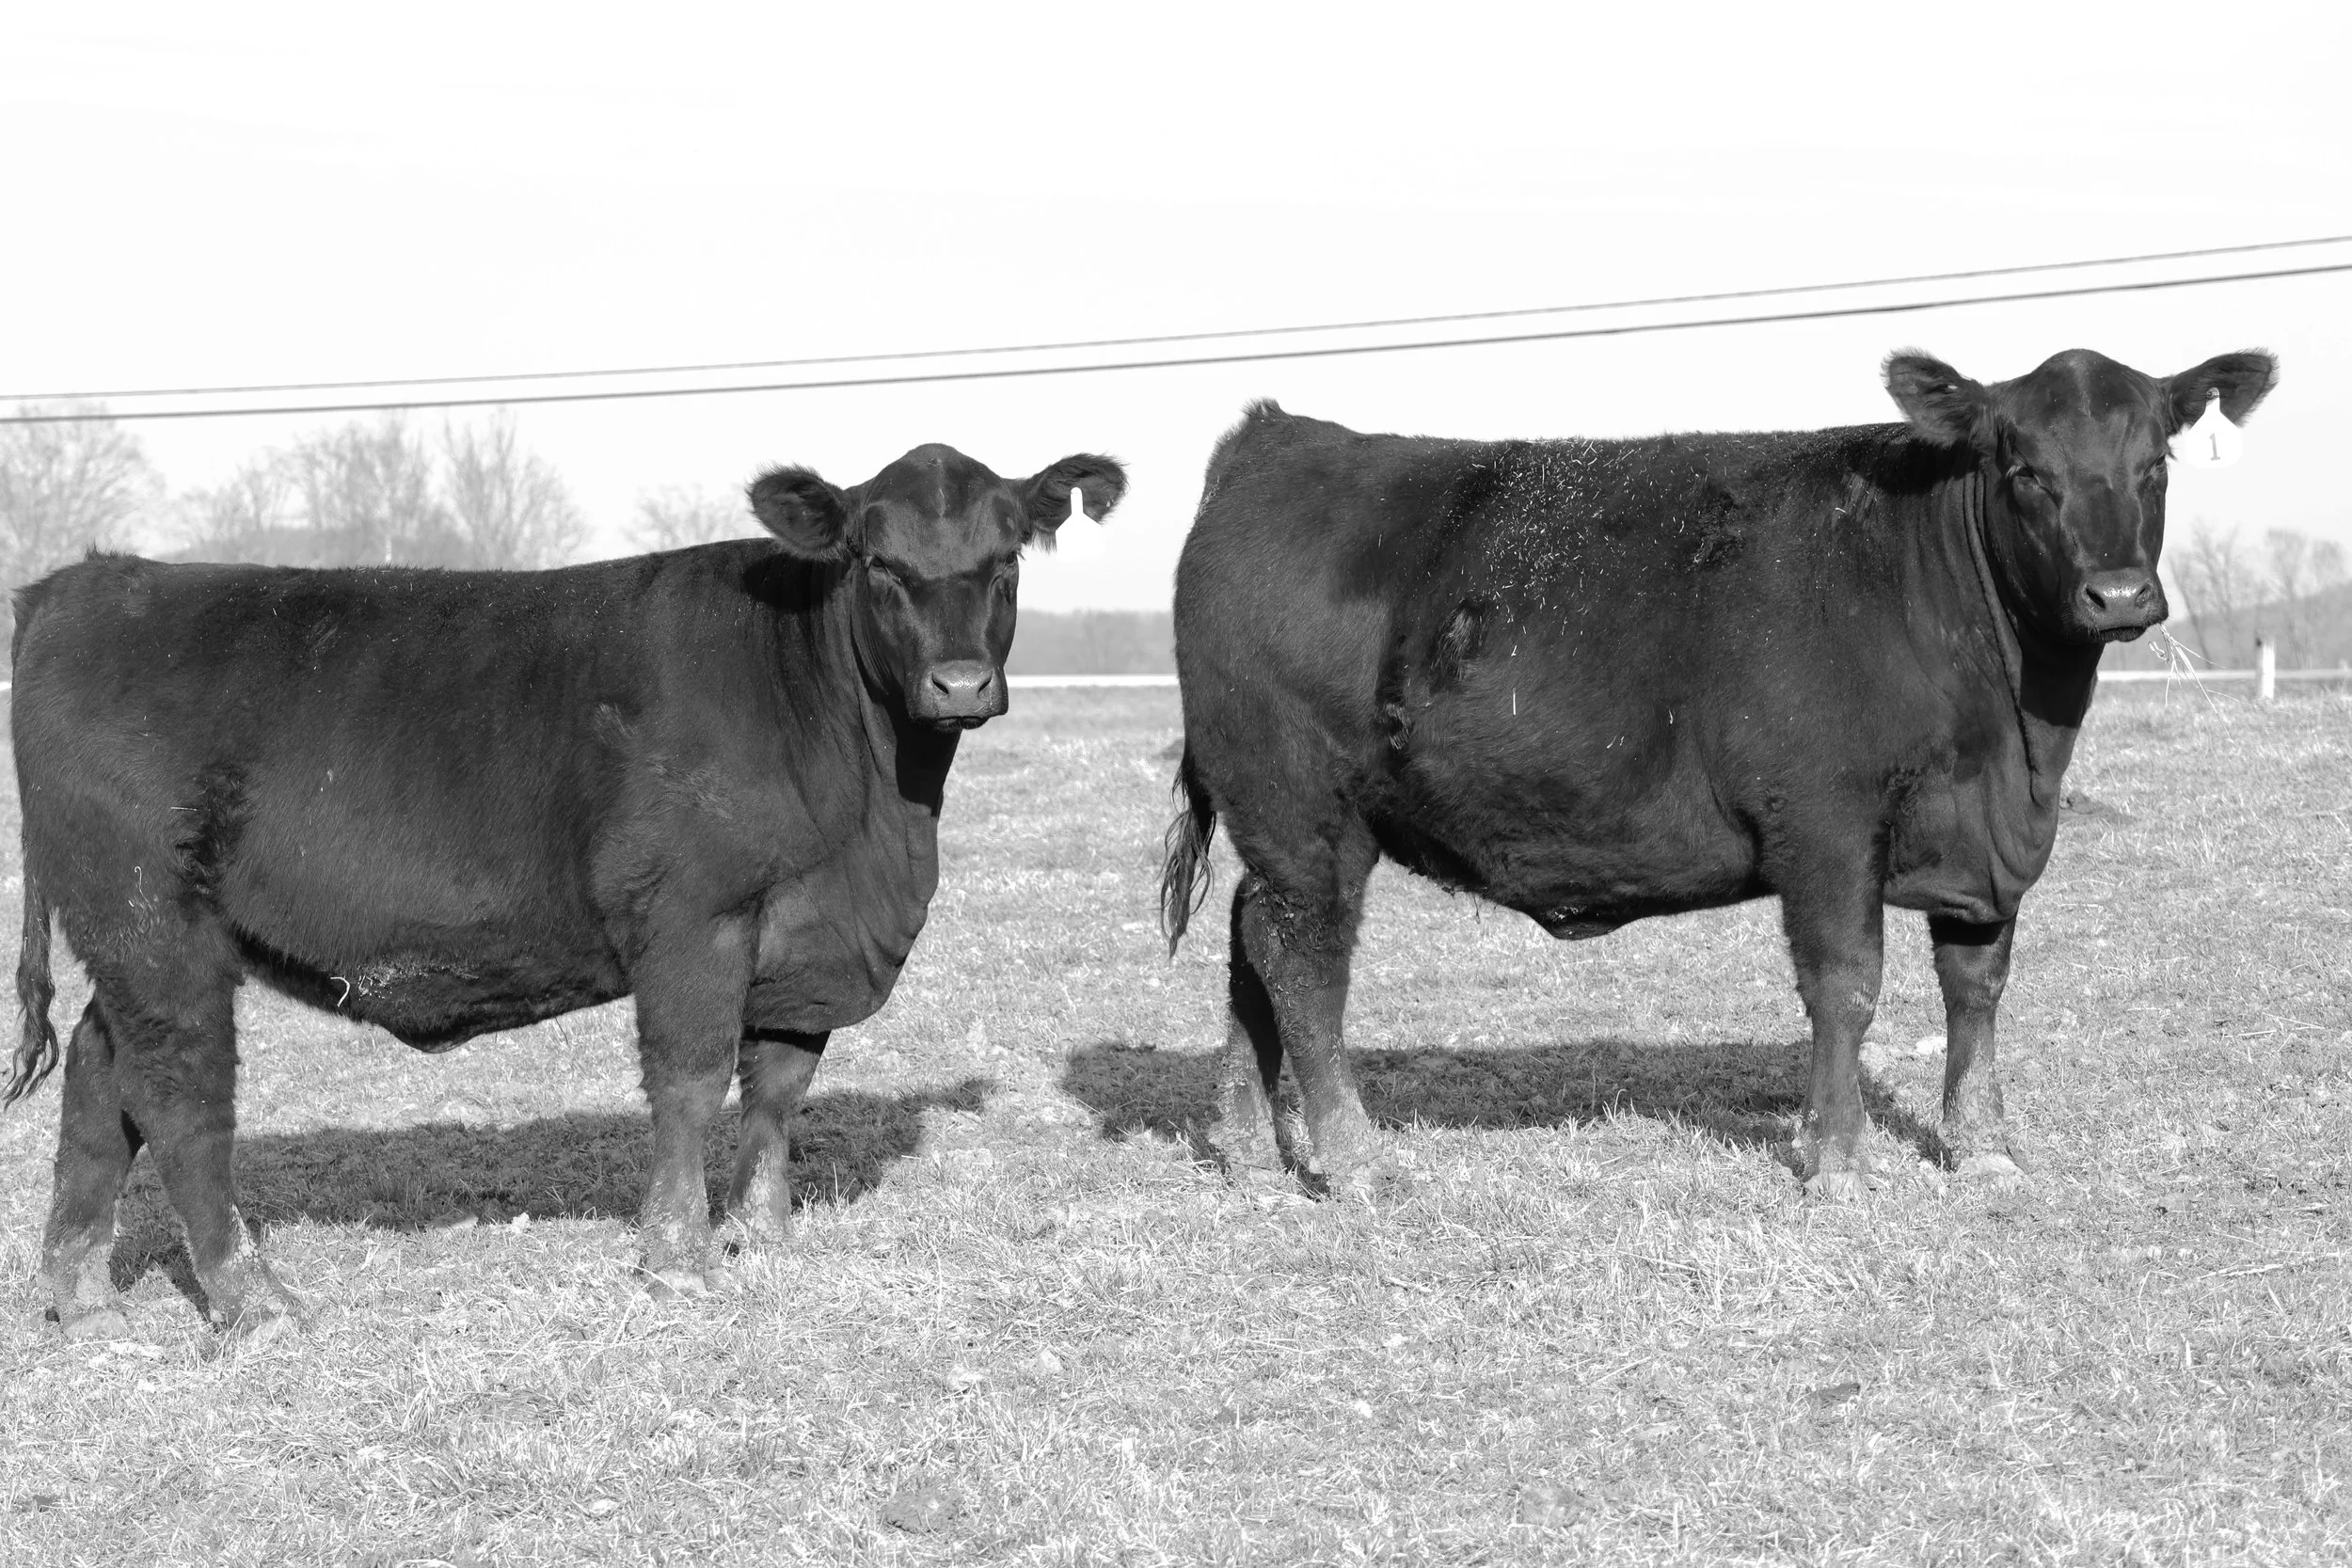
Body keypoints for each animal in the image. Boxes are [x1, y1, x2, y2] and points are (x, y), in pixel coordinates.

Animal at [8, 441, 1125, 1340]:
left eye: (1006, 560)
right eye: (879, 563)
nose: (959, 682)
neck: (876, 829)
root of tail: (81, 584)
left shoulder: (804, 936)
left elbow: (777, 1087)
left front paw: (760, 1235)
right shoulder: (694, 918)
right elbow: (690, 1079)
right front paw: (677, 1260)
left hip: (136, 942)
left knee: (102, 1075)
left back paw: (84, 1296)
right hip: (153, 922)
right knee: (179, 1093)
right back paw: (256, 1300)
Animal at [1160, 348, 2275, 1199]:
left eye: (2156, 462)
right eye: (2024, 468)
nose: (2117, 593)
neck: (2011, 744)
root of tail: (1278, 438)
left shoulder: (1983, 846)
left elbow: (1977, 986)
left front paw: (1984, 1147)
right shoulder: (1825, 821)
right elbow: (1847, 984)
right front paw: (1835, 1159)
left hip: (1278, 828)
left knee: (1249, 944)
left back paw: (1248, 1143)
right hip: (1304, 810)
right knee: (1303, 957)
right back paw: (1356, 1159)